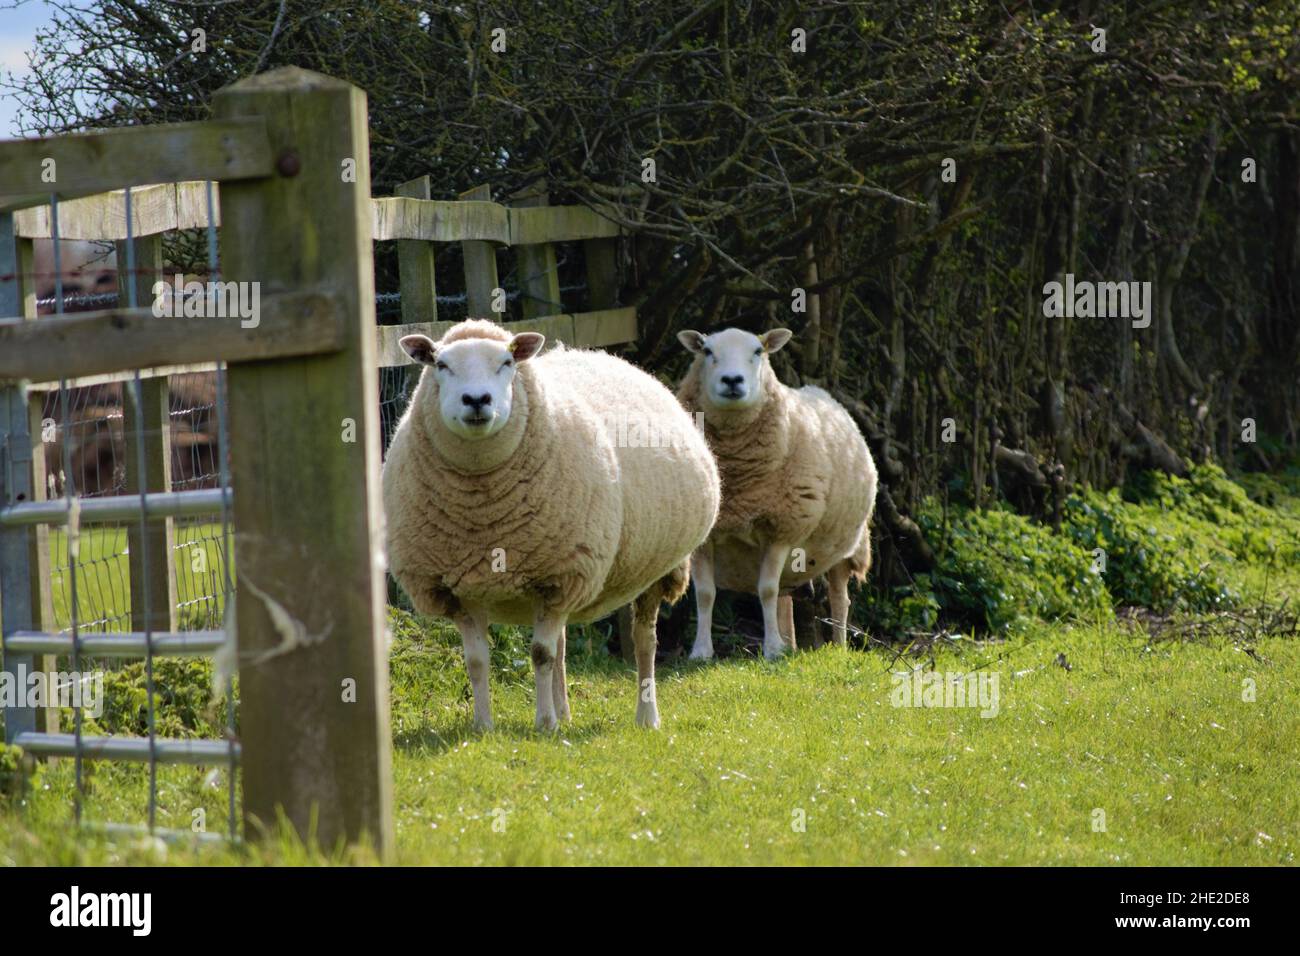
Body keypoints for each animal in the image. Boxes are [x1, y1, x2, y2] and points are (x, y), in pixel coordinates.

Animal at [383, 319, 720, 731]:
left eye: (507, 362)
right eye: (441, 365)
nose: (477, 400)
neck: (482, 514)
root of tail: (603, 356)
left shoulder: (561, 576)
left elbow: (539, 654)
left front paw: (544, 724)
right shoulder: (460, 589)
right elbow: (477, 661)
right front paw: (484, 727)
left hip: (654, 570)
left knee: (644, 641)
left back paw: (646, 716)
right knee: (561, 644)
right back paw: (565, 712)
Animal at [676, 326, 877, 660]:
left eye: (758, 351)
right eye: (706, 351)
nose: (732, 380)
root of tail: (823, 394)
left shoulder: (783, 527)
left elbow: (766, 590)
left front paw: (770, 650)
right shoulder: (706, 537)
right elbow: (705, 594)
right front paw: (701, 652)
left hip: (847, 545)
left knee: (838, 597)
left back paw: (837, 646)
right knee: (784, 595)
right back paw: (789, 644)